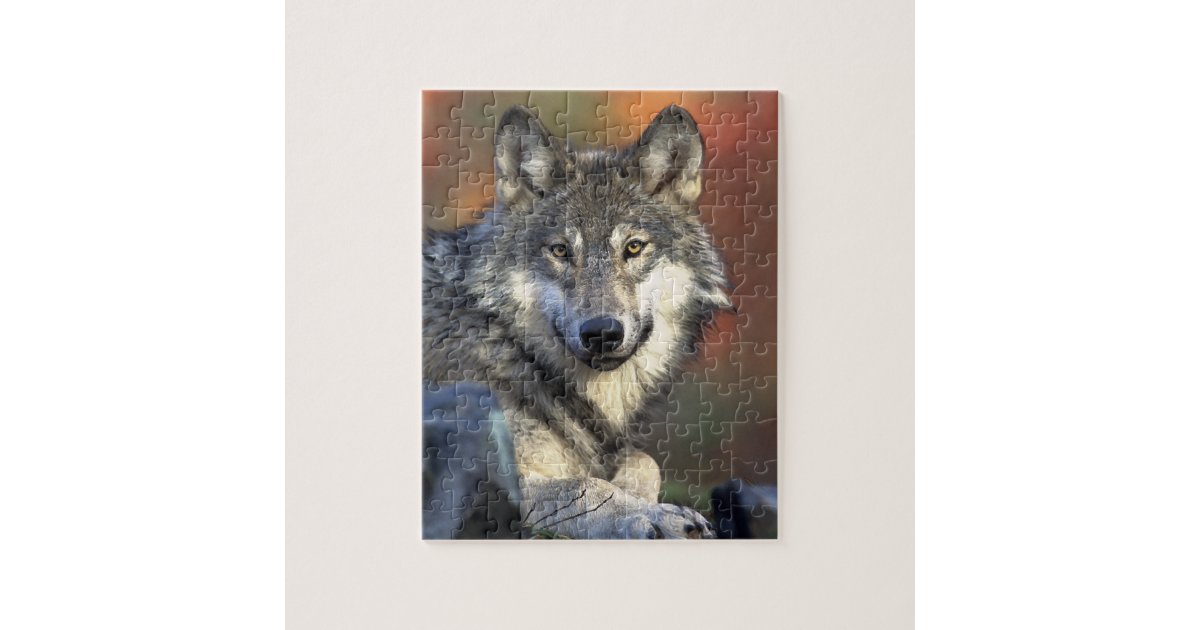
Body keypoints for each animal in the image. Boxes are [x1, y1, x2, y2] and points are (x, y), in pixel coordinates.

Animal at [423, 104, 730, 539]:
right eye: (561, 250)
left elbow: (644, 463)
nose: (602, 332)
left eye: (633, 247)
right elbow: (588, 486)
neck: (511, 347)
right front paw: (654, 516)